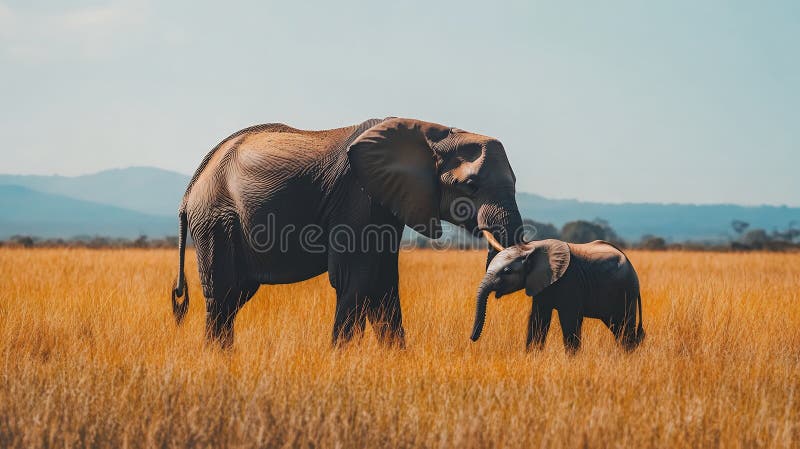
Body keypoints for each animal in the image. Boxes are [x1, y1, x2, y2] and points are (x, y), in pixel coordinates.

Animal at [170, 117, 523, 349]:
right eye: (471, 185)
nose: (472, 338)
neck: (431, 134)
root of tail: (189, 190)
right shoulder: (357, 197)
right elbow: (355, 279)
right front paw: (341, 359)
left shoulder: (387, 202)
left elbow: (383, 283)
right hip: (215, 221)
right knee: (222, 293)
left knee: (235, 295)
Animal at [470, 239, 644, 354]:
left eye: (507, 271)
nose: (472, 338)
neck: (530, 248)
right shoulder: (540, 283)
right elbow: (539, 318)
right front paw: (532, 355)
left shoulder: (569, 281)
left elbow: (569, 320)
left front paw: (572, 360)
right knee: (617, 328)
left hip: (627, 292)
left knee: (625, 326)